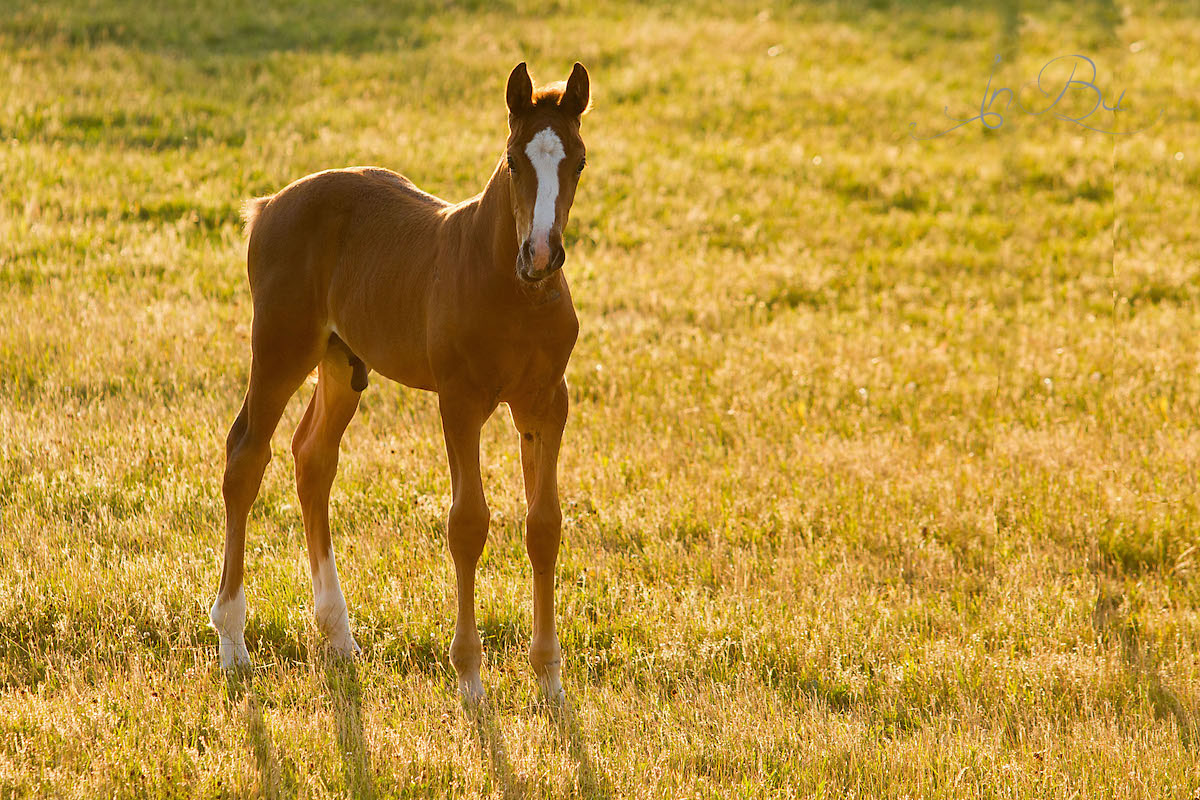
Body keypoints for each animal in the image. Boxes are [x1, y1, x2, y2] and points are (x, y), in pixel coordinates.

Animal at [209, 62, 590, 702]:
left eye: (578, 162)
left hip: (342, 363)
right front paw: (470, 679)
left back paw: (339, 636)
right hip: (282, 349)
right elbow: (468, 523)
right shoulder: (460, 402)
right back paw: (233, 641)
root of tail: (268, 205)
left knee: (312, 458)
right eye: (513, 160)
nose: (540, 254)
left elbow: (544, 526)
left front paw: (549, 680)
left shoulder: (545, 404)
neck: (512, 290)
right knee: (246, 456)